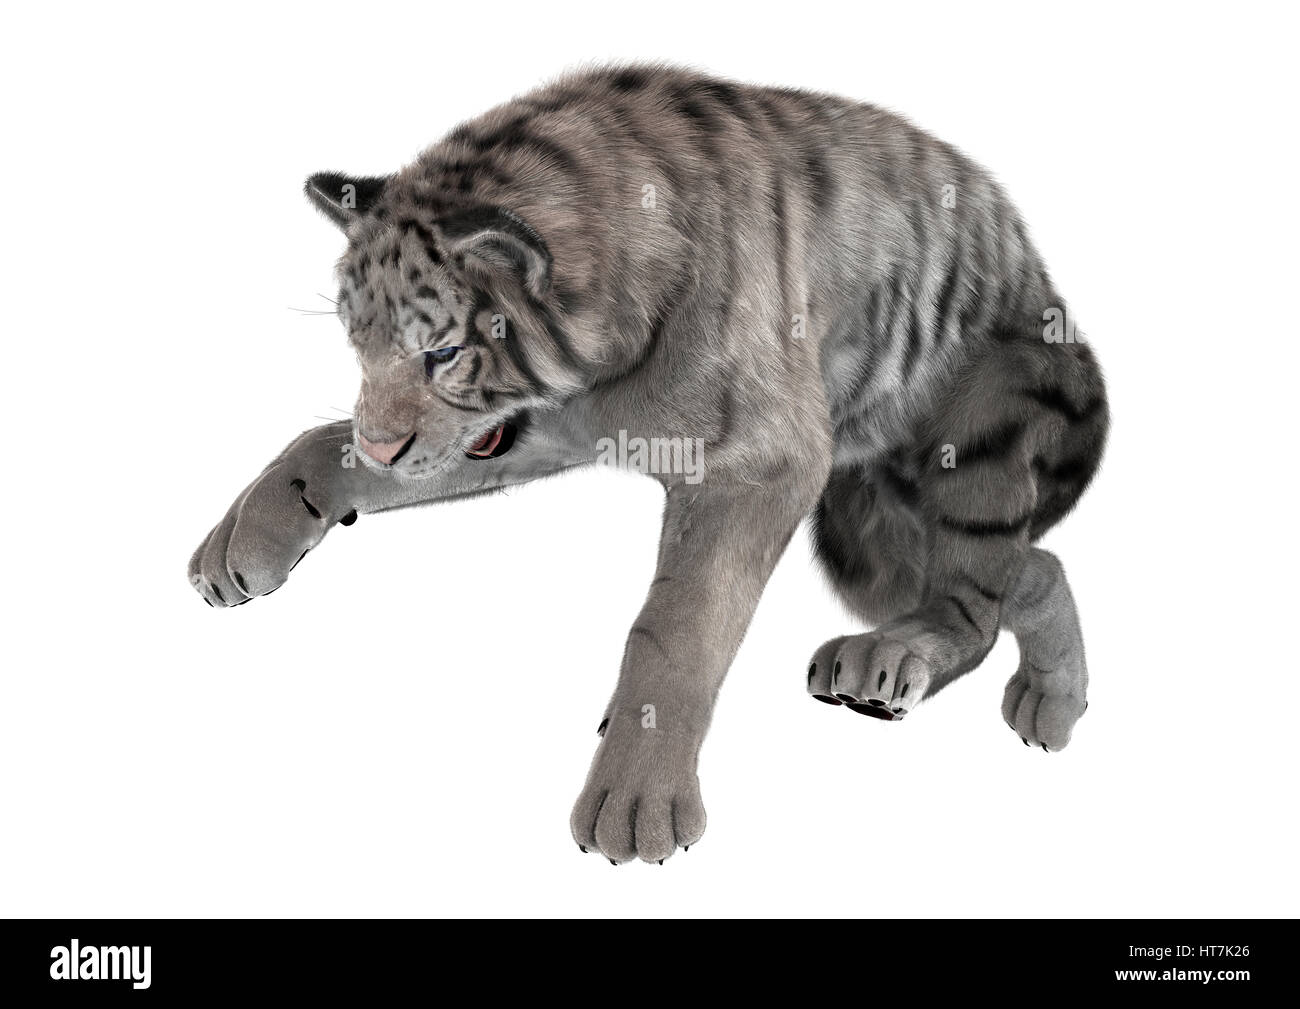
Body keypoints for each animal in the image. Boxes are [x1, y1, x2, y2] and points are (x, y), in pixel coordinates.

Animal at [188, 65, 1108, 864]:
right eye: (358, 342)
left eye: (442, 352)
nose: (385, 445)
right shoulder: (541, 430)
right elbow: (321, 442)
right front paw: (237, 546)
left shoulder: (763, 463)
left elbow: (675, 627)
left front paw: (636, 805)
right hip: (866, 532)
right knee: (1013, 575)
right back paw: (1010, 693)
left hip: (966, 449)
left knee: (995, 593)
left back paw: (963, 681)